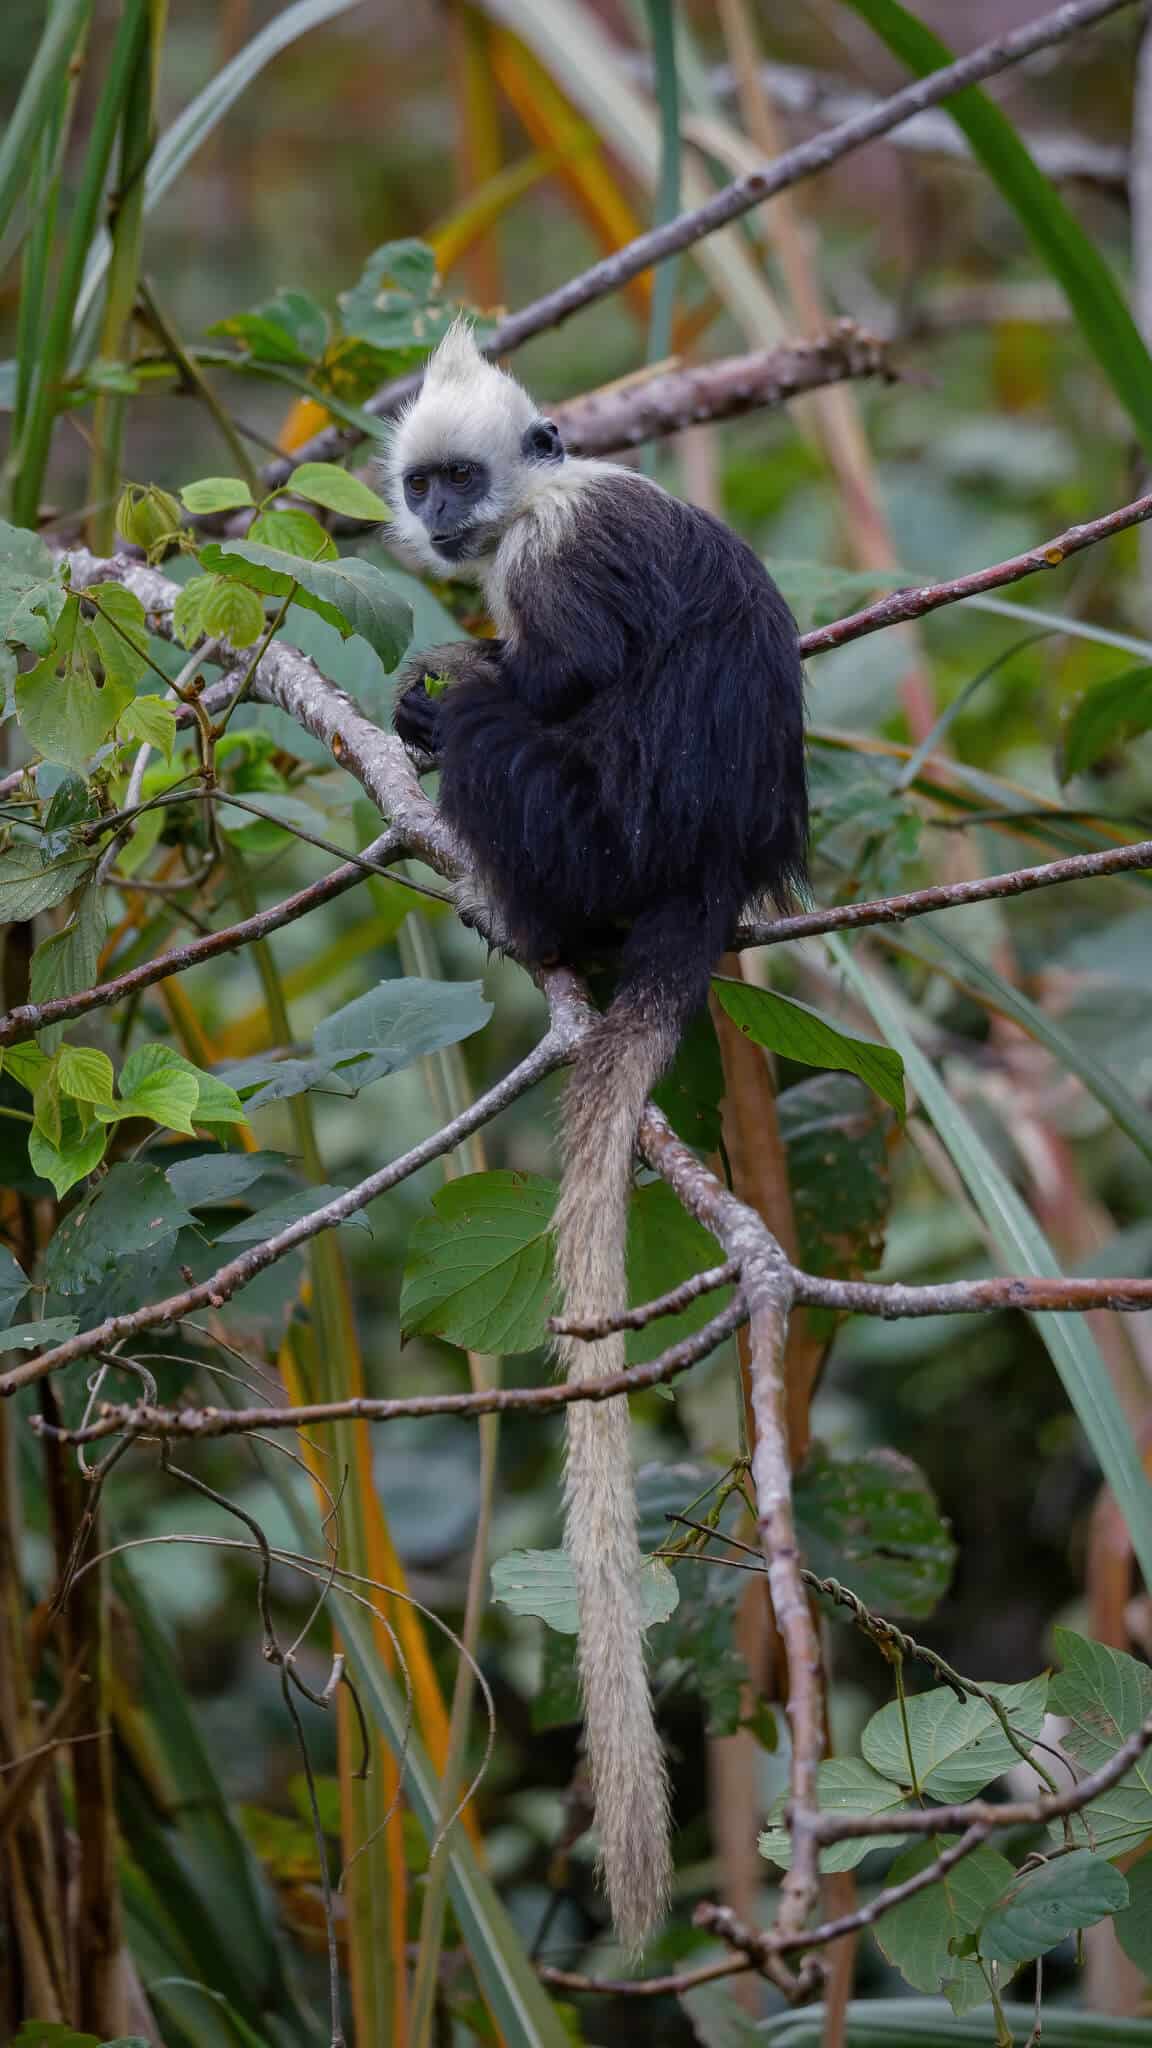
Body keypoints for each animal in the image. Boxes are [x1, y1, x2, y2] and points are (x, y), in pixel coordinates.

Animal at [386, 320, 807, 1950]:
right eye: (422, 482)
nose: (439, 519)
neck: (543, 496)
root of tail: (708, 872)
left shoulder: (552, 558)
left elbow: (552, 673)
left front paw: (455, 679)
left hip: (595, 833)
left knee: (501, 731)